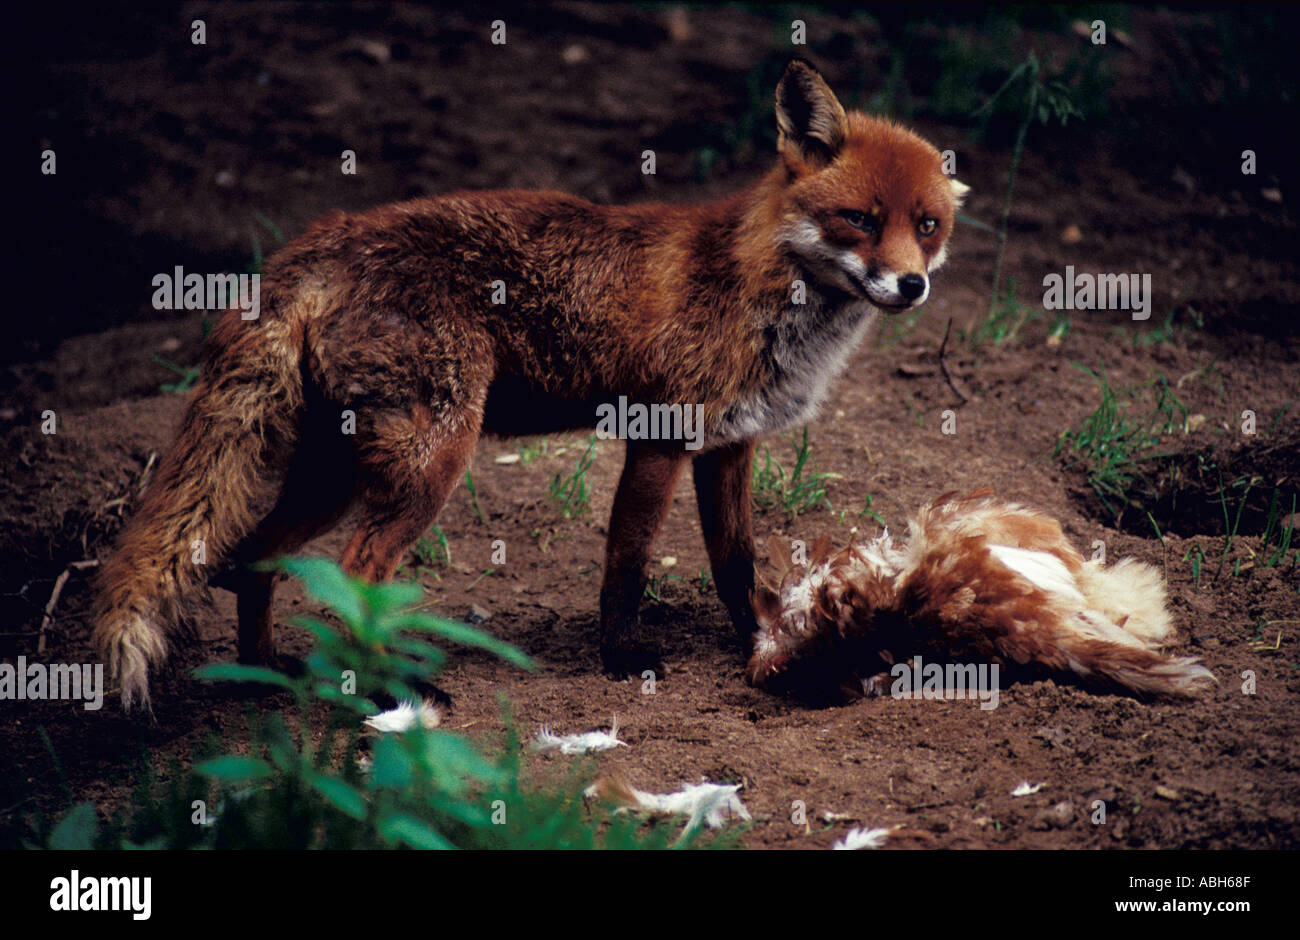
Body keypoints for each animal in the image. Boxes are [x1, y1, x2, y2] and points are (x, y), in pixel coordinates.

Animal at [93, 58, 968, 711]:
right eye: (860, 219)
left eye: (926, 226)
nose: (912, 285)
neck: (756, 289)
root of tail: (317, 242)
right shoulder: (658, 435)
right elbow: (627, 565)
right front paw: (622, 660)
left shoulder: (730, 445)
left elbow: (735, 562)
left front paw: (763, 637)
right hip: (429, 462)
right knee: (352, 574)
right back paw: (379, 698)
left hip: (334, 472)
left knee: (251, 561)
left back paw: (263, 680)